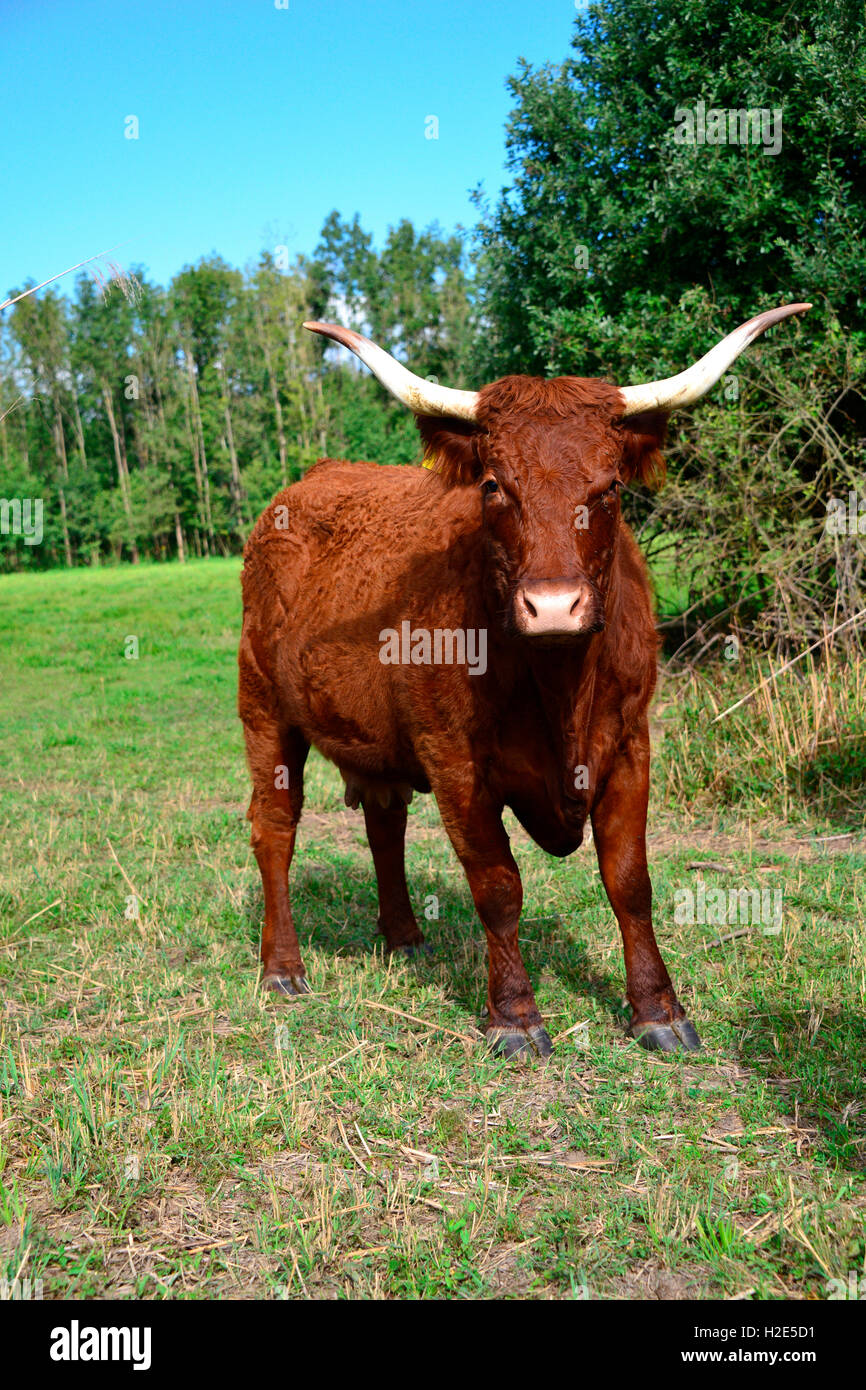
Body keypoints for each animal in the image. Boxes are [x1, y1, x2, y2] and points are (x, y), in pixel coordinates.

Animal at [238, 302, 809, 1057]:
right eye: (493, 486)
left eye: (610, 488)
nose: (554, 605)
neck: (560, 687)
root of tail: (311, 480)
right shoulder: (455, 762)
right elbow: (498, 886)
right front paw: (514, 1017)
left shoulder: (629, 745)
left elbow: (629, 880)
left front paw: (657, 1010)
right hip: (264, 710)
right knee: (275, 828)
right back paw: (282, 968)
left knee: (385, 823)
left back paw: (405, 938)